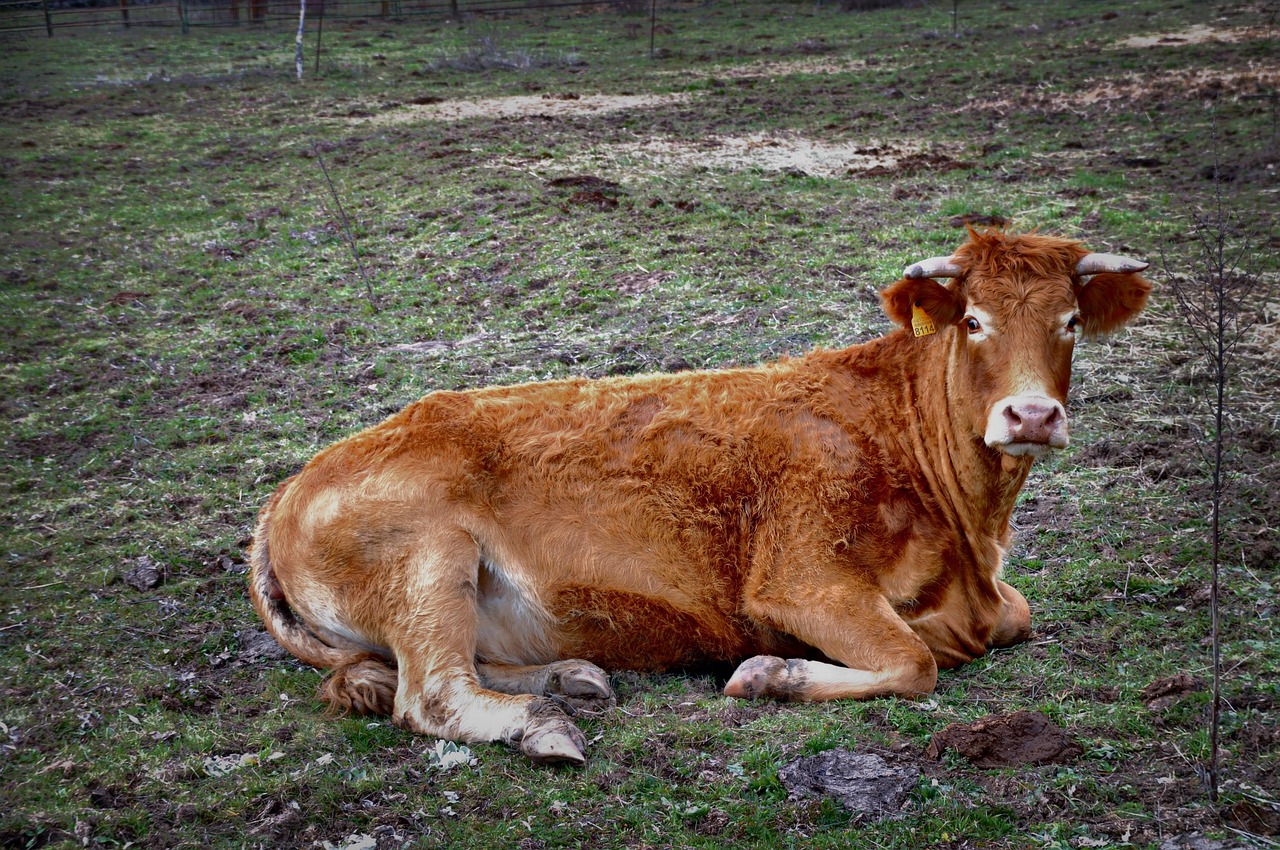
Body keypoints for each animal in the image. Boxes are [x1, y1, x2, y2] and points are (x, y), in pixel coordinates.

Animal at [248, 228, 1151, 765]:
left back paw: (570, 677)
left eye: (1070, 322)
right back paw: (543, 721)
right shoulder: (801, 579)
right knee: (430, 692)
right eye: (972, 320)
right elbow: (914, 661)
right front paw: (771, 675)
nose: (1031, 415)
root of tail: (289, 488)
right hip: (429, 554)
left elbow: (1012, 616)